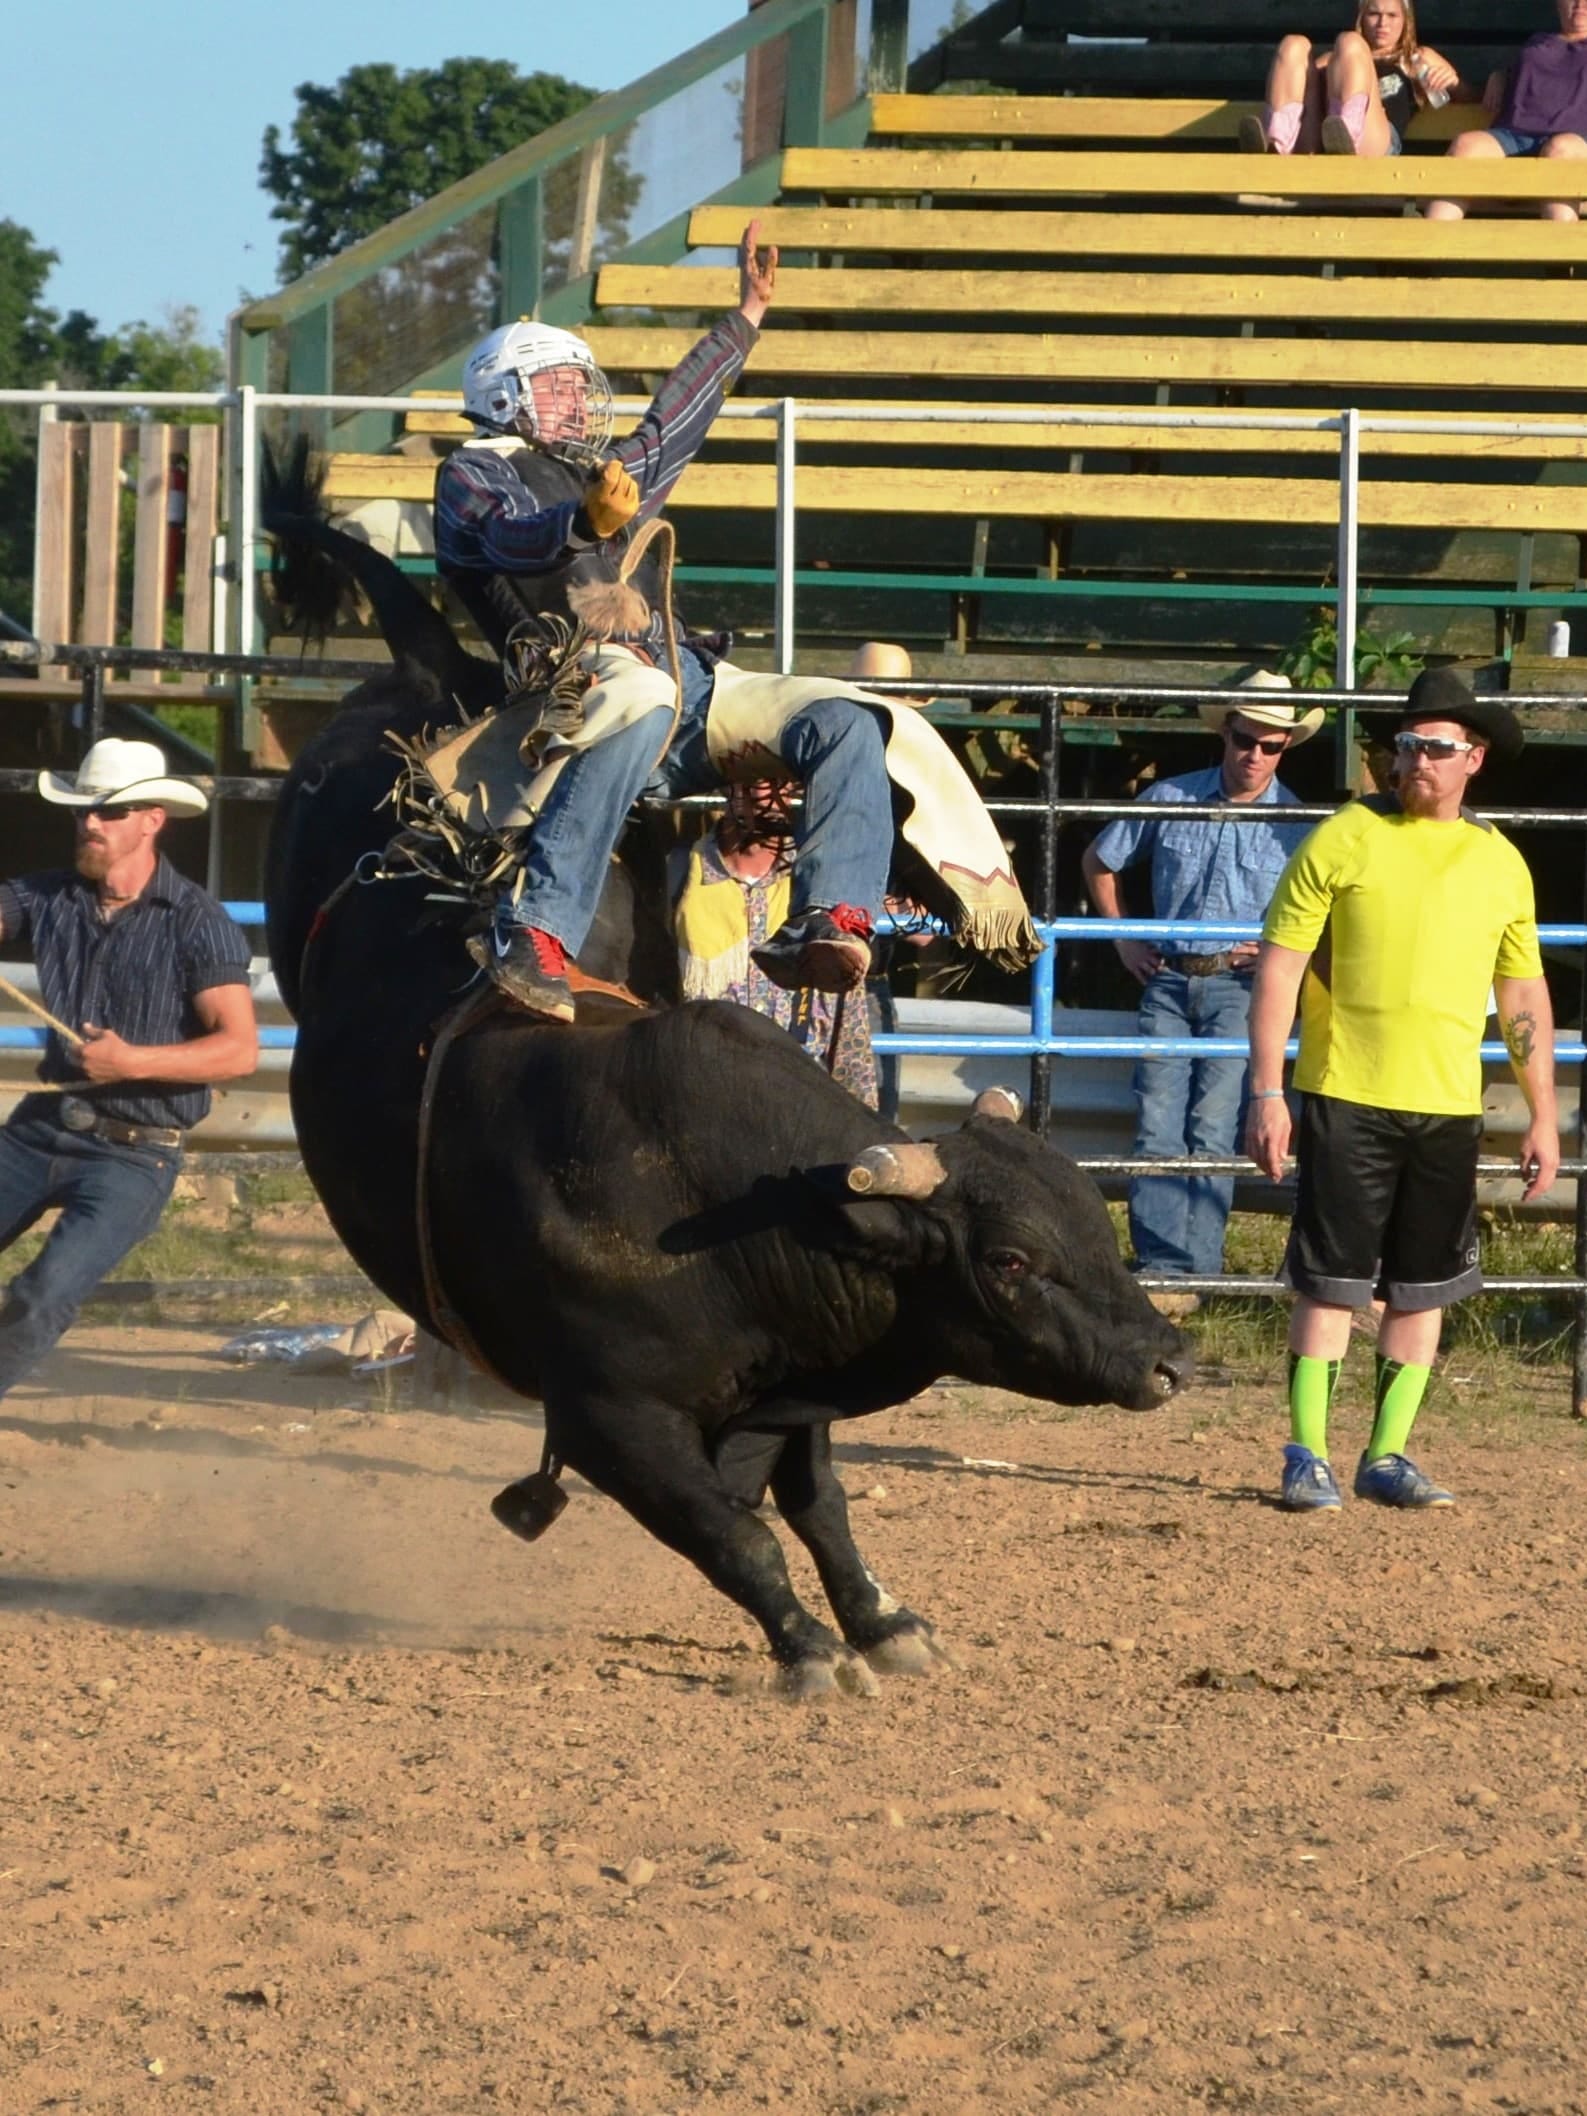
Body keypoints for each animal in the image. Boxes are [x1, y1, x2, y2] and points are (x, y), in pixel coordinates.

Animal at [263, 458, 1194, 1695]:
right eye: (1009, 1258)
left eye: (1096, 1221)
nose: (1168, 1360)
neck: (698, 1193)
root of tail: (429, 686)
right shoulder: (613, 1420)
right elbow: (732, 1529)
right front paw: (811, 1650)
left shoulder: (801, 1376)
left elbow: (815, 1497)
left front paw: (883, 1622)